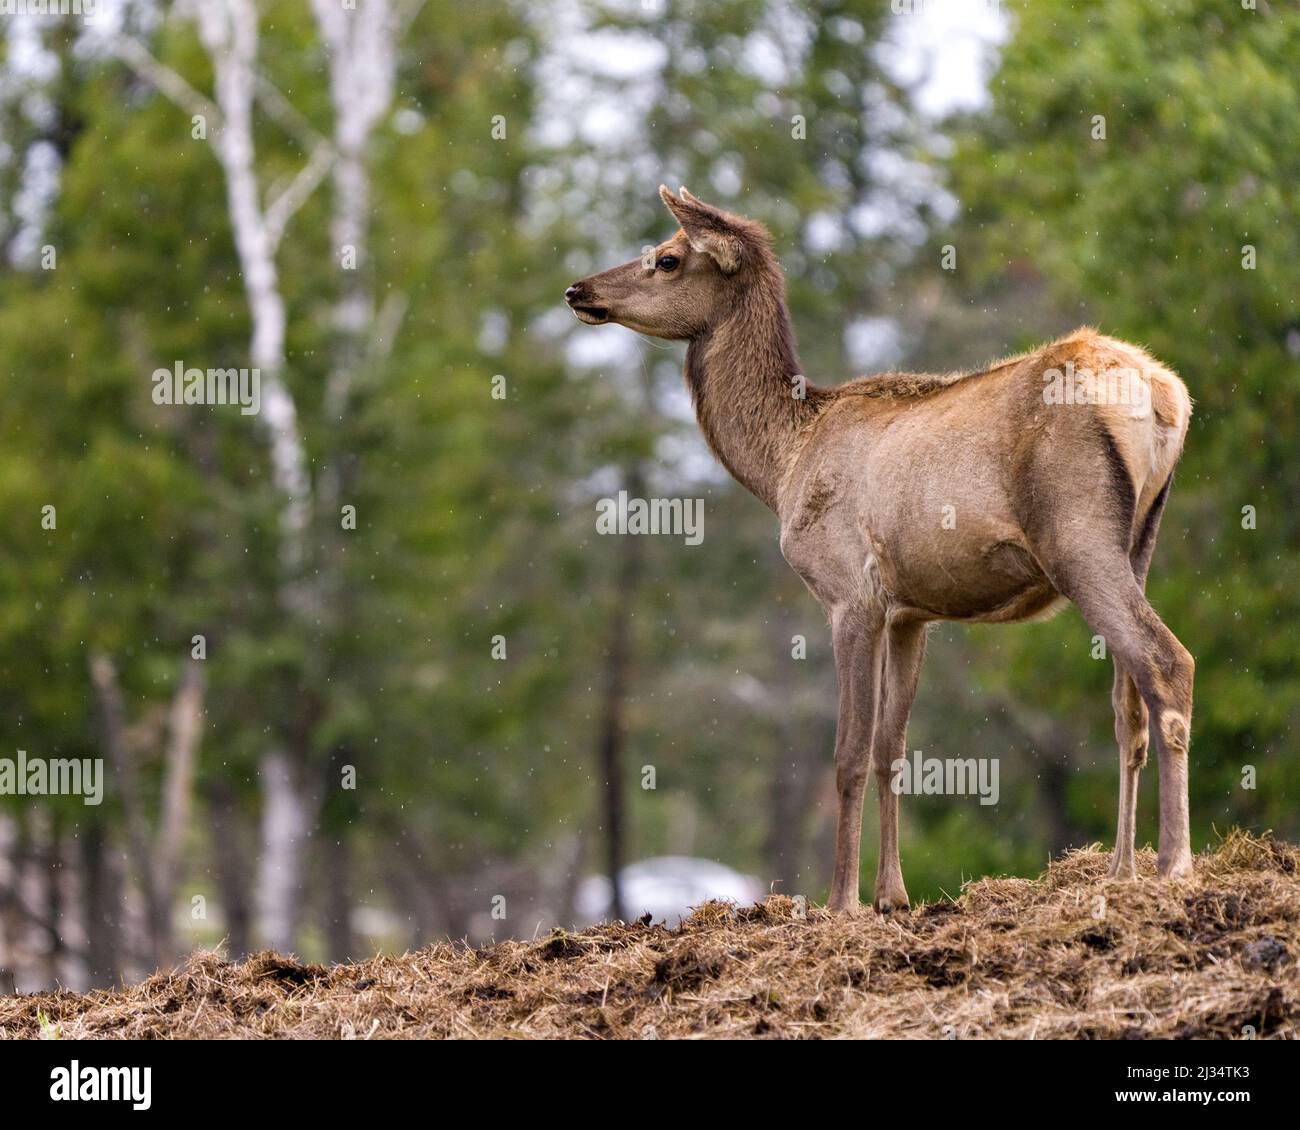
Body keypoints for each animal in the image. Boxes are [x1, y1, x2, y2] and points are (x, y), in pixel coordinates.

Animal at [565, 186, 1194, 914]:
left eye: (666, 258)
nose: (578, 289)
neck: (781, 465)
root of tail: (1168, 399)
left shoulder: (849, 593)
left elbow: (849, 753)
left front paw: (843, 901)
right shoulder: (910, 612)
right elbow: (894, 747)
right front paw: (893, 893)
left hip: (1077, 536)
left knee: (1167, 662)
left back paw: (1175, 863)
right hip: (1141, 541)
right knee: (1127, 703)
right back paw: (1122, 869)